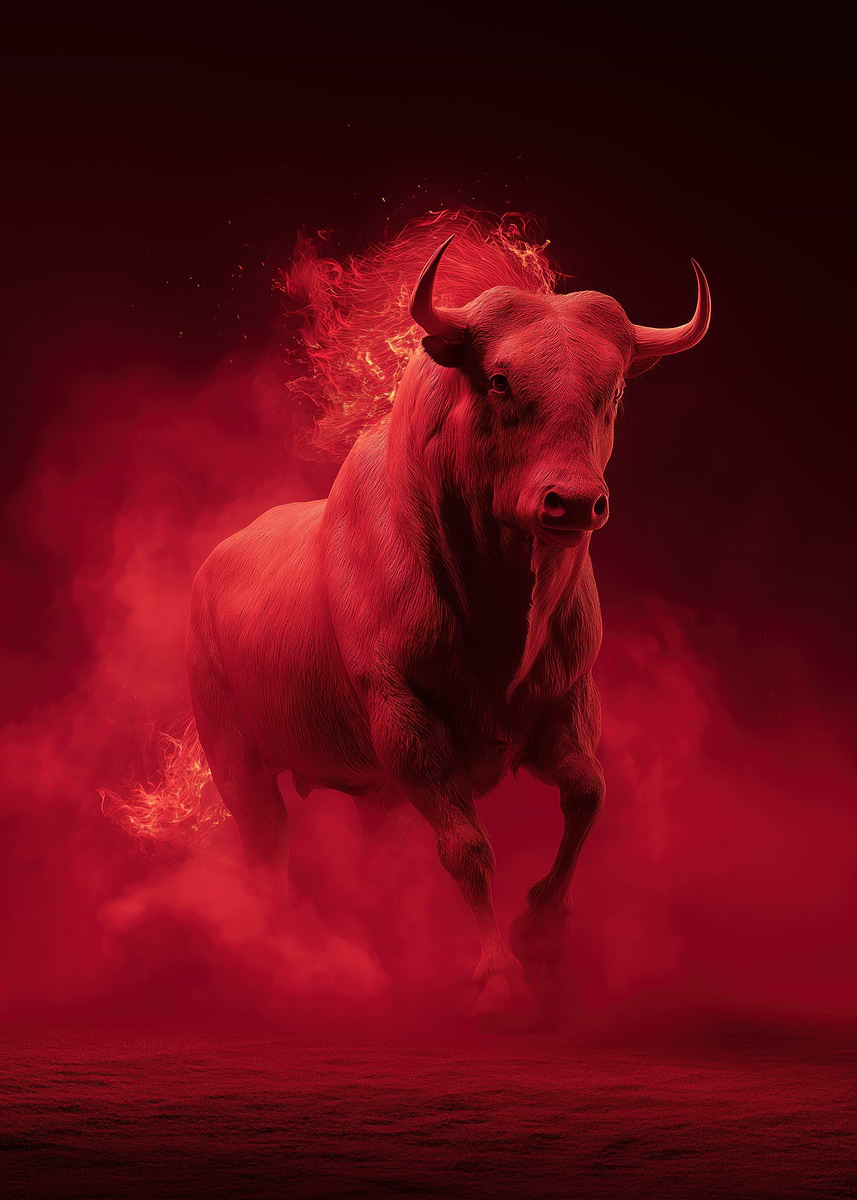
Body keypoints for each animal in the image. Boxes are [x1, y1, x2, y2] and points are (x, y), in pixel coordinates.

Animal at [187, 237, 710, 1022]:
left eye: (613, 390)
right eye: (498, 380)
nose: (573, 503)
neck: (497, 604)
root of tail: (211, 569)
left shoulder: (564, 705)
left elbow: (588, 794)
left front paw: (541, 934)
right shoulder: (406, 724)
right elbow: (467, 847)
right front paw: (498, 975)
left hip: (360, 782)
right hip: (235, 755)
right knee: (266, 846)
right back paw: (281, 958)